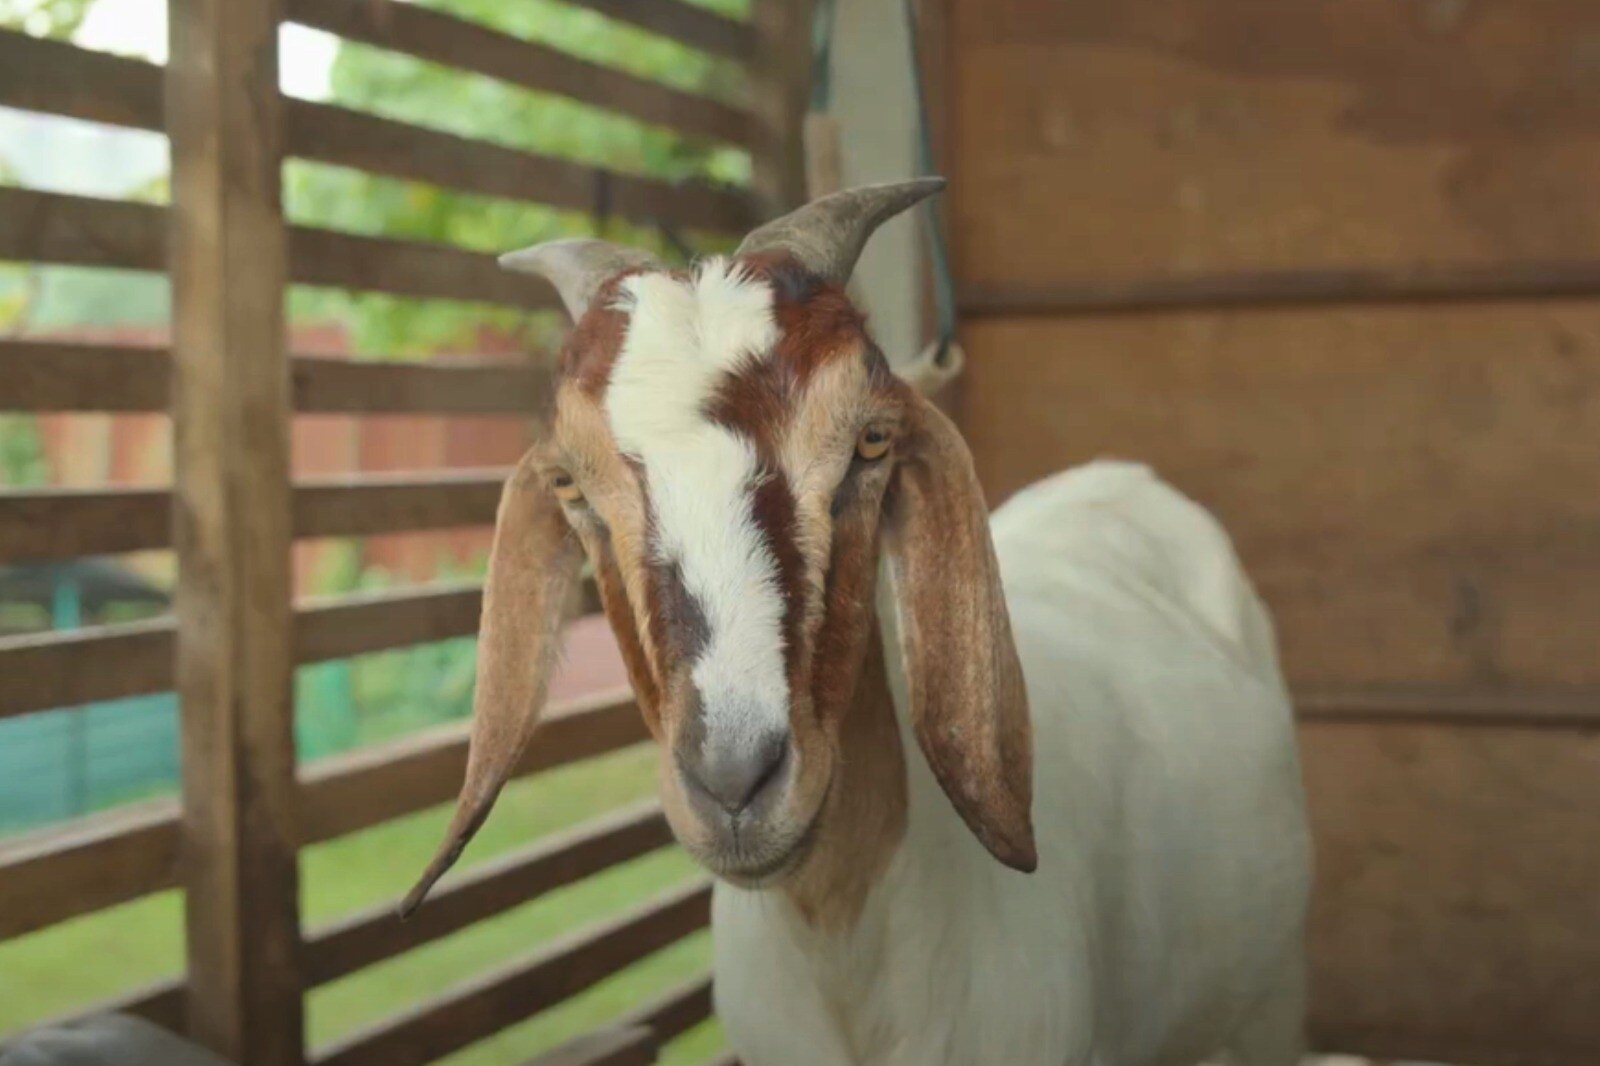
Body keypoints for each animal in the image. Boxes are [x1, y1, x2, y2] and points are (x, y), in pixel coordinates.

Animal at [402, 179, 1312, 1066]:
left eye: (871, 441)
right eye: (570, 484)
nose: (734, 782)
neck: (844, 953)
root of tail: (1117, 480)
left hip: (1266, 1012)